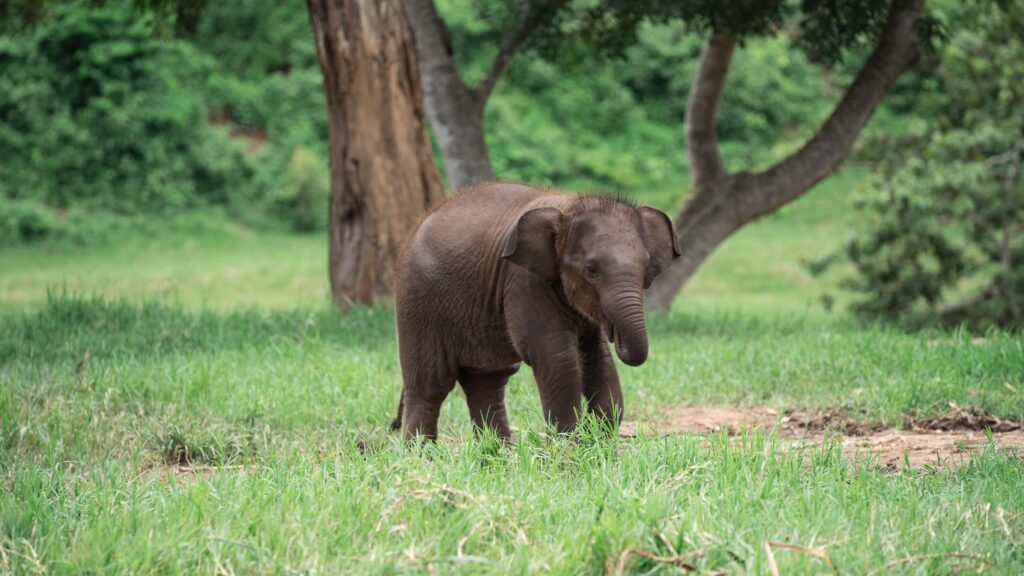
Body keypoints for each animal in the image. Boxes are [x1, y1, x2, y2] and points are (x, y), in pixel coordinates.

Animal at [391, 182, 679, 440]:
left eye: (646, 269)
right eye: (591, 271)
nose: (616, 335)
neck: (570, 205)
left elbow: (598, 357)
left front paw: (599, 444)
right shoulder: (524, 281)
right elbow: (556, 356)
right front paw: (571, 448)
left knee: (487, 382)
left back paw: (497, 456)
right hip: (417, 303)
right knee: (430, 387)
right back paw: (421, 456)